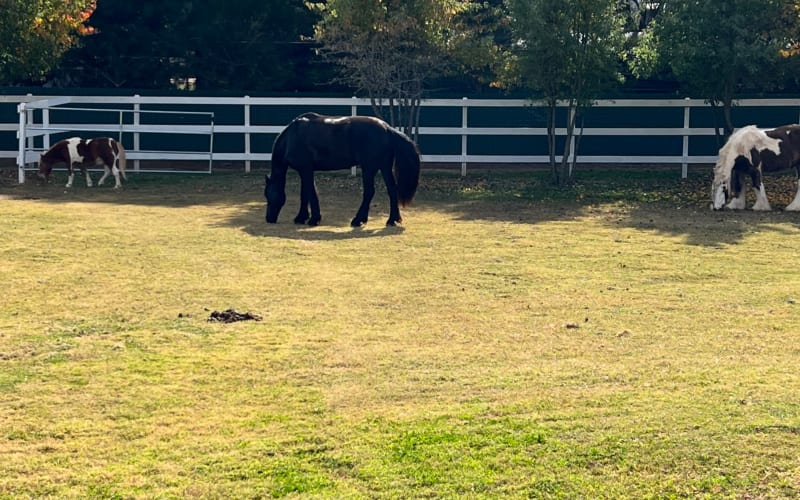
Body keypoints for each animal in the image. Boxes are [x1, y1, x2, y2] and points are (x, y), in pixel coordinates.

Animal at [264, 112, 421, 227]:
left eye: (268, 195)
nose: (269, 219)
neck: (291, 138)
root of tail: (387, 128)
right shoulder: (305, 171)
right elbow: (305, 194)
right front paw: (301, 218)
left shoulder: (305, 170)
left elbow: (311, 193)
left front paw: (313, 219)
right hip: (384, 167)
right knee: (392, 190)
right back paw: (392, 220)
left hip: (369, 168)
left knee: (369, 192)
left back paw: (358, 220)